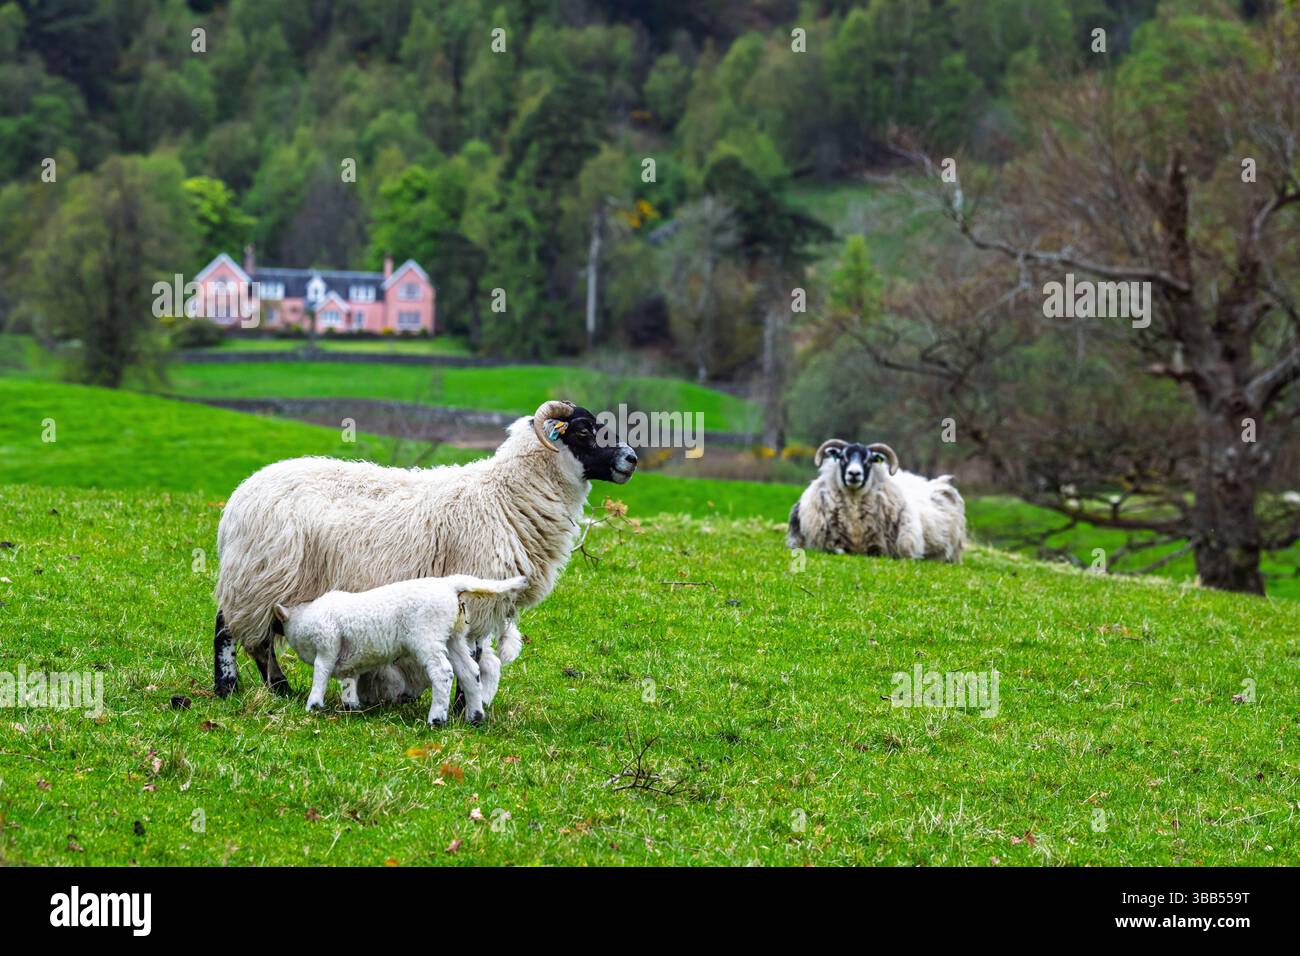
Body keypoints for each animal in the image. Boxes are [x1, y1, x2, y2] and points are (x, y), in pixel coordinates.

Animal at [213, 399, 638, 708]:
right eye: (583, 430)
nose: (631, 458)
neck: (506, 494)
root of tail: (239, 495)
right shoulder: (477, 589)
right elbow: (474, 656)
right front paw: (465, 706)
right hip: (259, 574)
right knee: (231, 629)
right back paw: (233, 688)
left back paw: (275, 689)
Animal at [273, 574, 529, 727]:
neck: (305, 618)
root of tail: (449, 585)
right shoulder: (349, 660)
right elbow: (349, 681)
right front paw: (351, 706)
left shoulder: (328, 644)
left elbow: (321, 672)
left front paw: (313, 705)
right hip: (453, 637)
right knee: (470, 672)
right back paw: (475, 717)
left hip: (427, 636)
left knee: (443, 673)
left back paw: (437, 719)